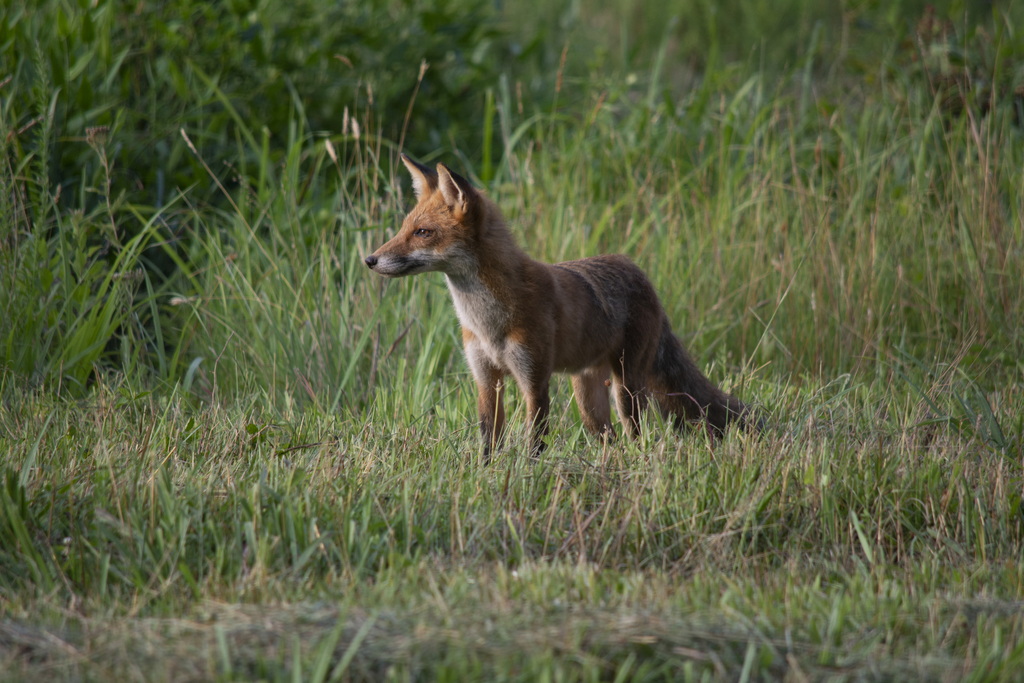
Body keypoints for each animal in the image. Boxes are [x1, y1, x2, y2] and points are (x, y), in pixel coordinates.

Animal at [365, 154, 756, 456]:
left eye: (423, 233)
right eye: (403, 228)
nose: (369, 259)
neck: (487, 322)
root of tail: (638, 272)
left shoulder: (534, 380)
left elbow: (534, 445)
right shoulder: (486, 380)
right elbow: (488, 443)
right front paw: (484, 477)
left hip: (627, 391)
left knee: (638, 439)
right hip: (590, 404)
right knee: (611, 443)